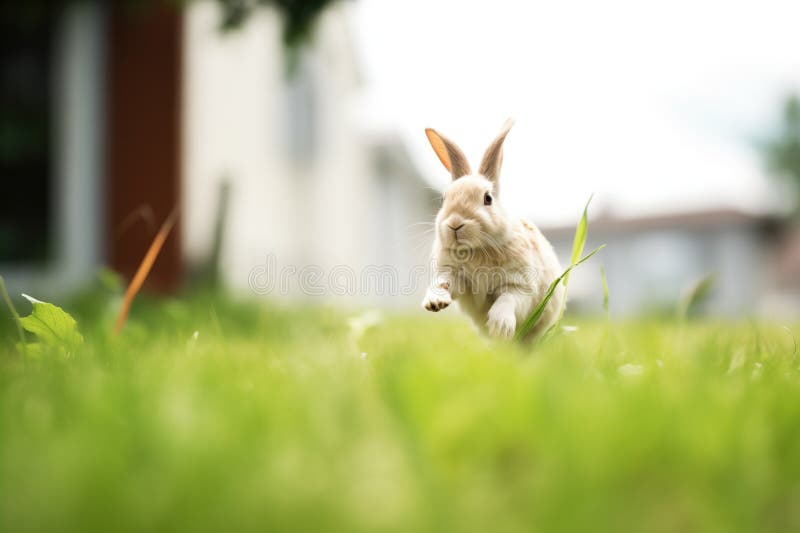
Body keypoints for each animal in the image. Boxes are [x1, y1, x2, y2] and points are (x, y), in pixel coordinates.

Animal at [421, 119, 565, 341]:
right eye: (444, 199)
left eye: (487, 198)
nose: (455, 223)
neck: (478, 249)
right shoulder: (454, 275)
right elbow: (443, 283)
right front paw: (434, 302)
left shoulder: (519, 284)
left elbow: (507, 300)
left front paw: (500, 326)